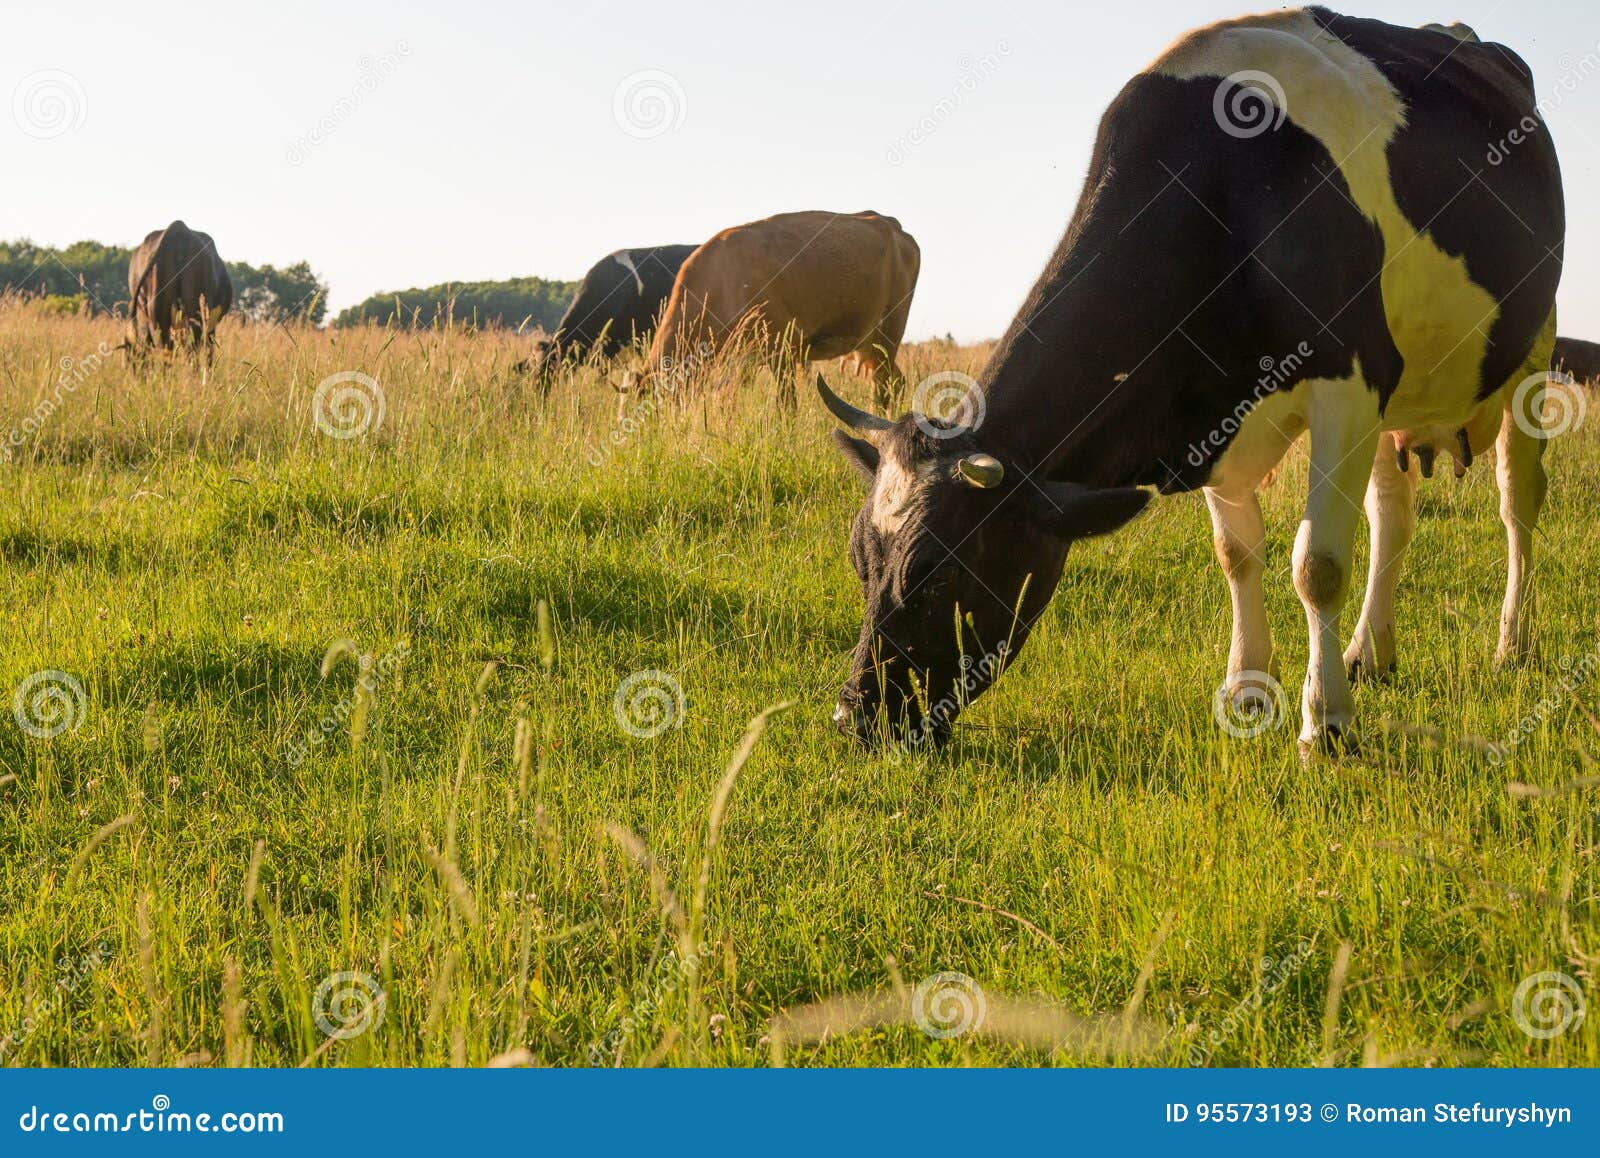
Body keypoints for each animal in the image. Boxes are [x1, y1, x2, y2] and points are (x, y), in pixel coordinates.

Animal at [625, 211, 919, 409]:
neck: (721, 279)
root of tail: (890, 224)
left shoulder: (782, 348)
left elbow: (786, 404)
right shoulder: (742, 361)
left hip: (889, 335)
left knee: (886, 386)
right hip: (870, 345)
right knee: (893, 382)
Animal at [819, 8, 1563, 754]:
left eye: (942, 568)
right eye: (859, 559)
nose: (855, 717)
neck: (1230, 194)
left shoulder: (1349, 380)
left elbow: (1318, 565)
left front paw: (1326, 725)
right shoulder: (1216, 413)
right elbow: (1237, 553)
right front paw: (1247, 691)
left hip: (1532, 352)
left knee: (1518, 503)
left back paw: (1513, 644)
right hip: (1400, 389)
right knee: (1392, 517)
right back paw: (1370, 653)